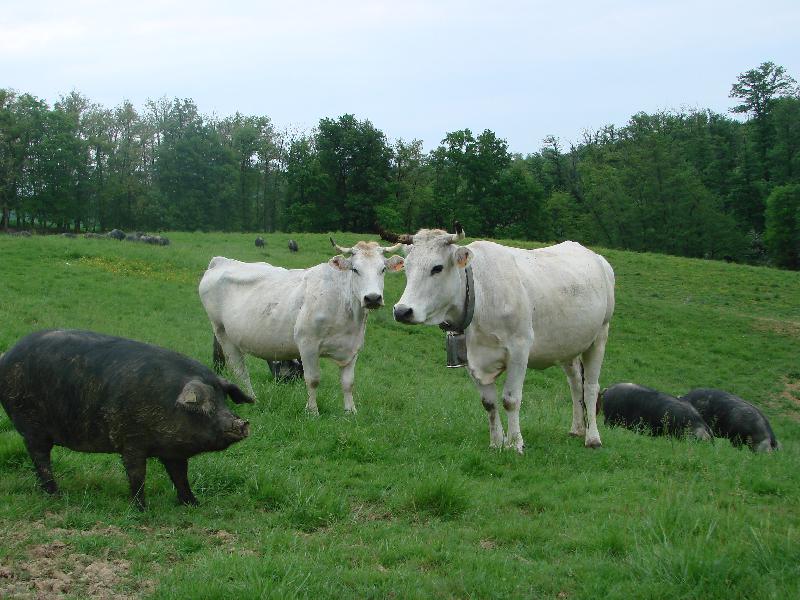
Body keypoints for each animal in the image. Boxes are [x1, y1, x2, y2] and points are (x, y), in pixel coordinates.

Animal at [199, 239, 404, 414]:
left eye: (383, 269)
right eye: (355, 269)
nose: (372, 298)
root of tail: (221, 261)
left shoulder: (353, 347)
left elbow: (348, 382)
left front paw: (350, 411)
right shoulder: (307, 344)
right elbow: (313, 379)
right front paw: (312, 411)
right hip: (222, 332)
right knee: (239, 369)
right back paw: (252, 399)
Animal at [383, 223, 615, 451]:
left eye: (437, 267)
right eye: (407, 268)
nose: (402, 311)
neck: (481, 296)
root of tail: (595, 256)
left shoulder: (519, 350)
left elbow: (510, 400)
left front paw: (515, 444)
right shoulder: (470, 358)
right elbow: (489, 403)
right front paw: (496, 443)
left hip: (600, 336)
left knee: (590, 387)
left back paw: (592, 438)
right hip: (568, 344)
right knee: (575, 383)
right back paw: (577, 429)